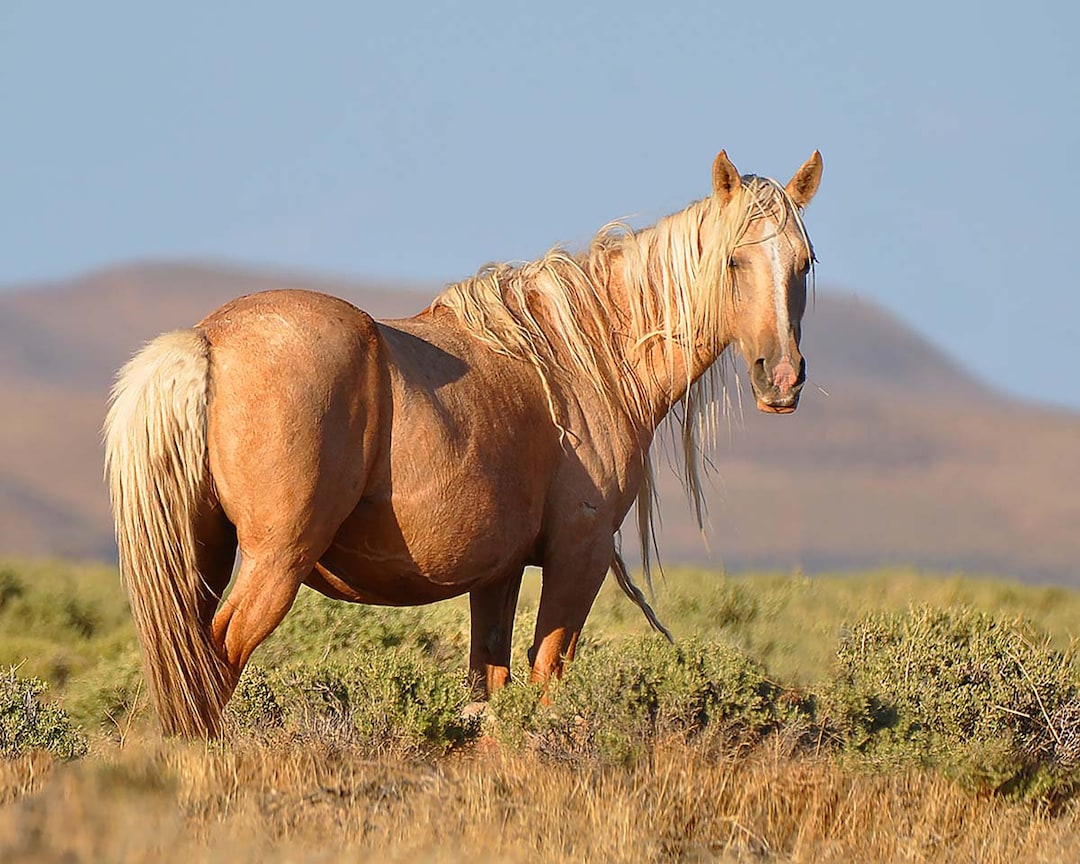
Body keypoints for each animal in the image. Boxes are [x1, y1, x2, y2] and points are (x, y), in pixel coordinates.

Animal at [104, 149, 822, 738]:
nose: (782, 379)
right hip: (273, 563)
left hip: (203, 556)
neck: (586, 354)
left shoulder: (498, 575)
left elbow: (488, 692)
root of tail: (207, 341)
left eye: (804, 264)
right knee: (212, 674)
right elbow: (545, 684)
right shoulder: (579, 558)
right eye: (732, 260)